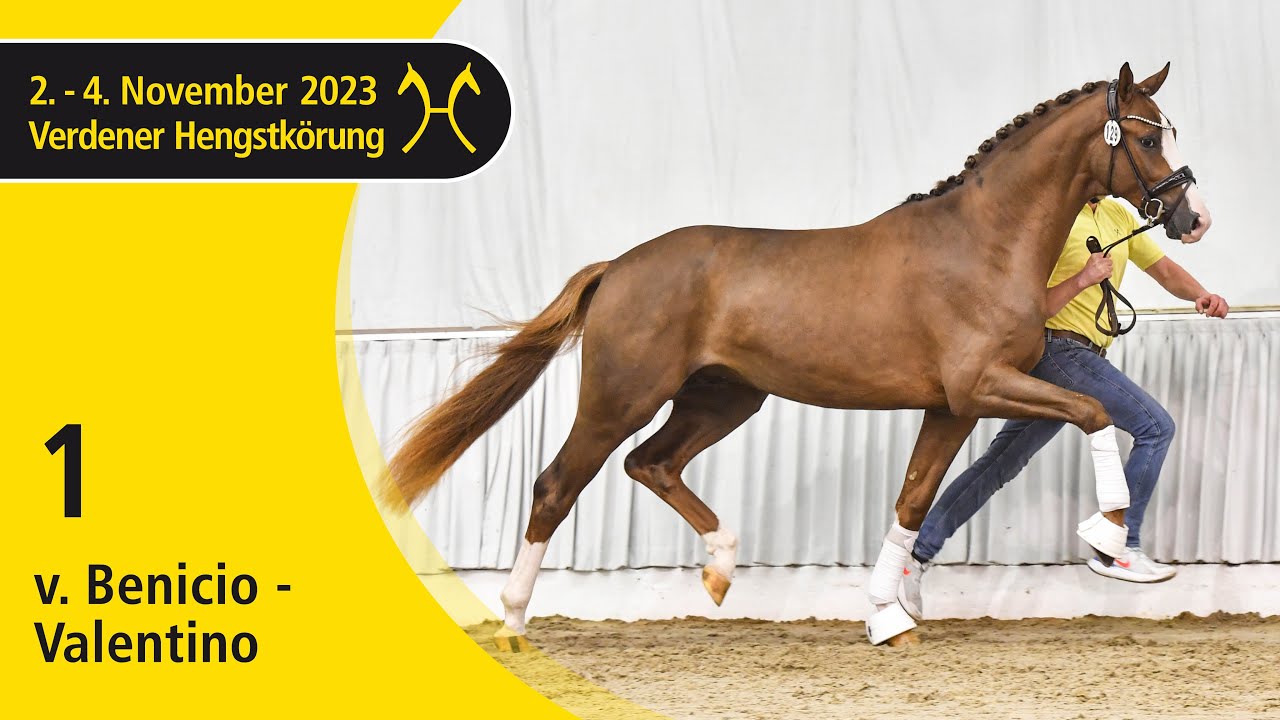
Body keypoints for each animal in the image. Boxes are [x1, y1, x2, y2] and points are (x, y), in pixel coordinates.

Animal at [380, 62, 1211, 649]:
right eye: (1146, 137)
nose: (1193, 217)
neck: (984, 243)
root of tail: (617, 268)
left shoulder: (952, 405)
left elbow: (913, 501)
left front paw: (886, 617)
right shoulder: (982, 386)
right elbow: (1092, 409)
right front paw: (1110, 536)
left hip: (723, 397)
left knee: (652, 464)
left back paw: (720, 570)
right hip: (621, 397)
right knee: (558, 485)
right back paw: (515, 620)